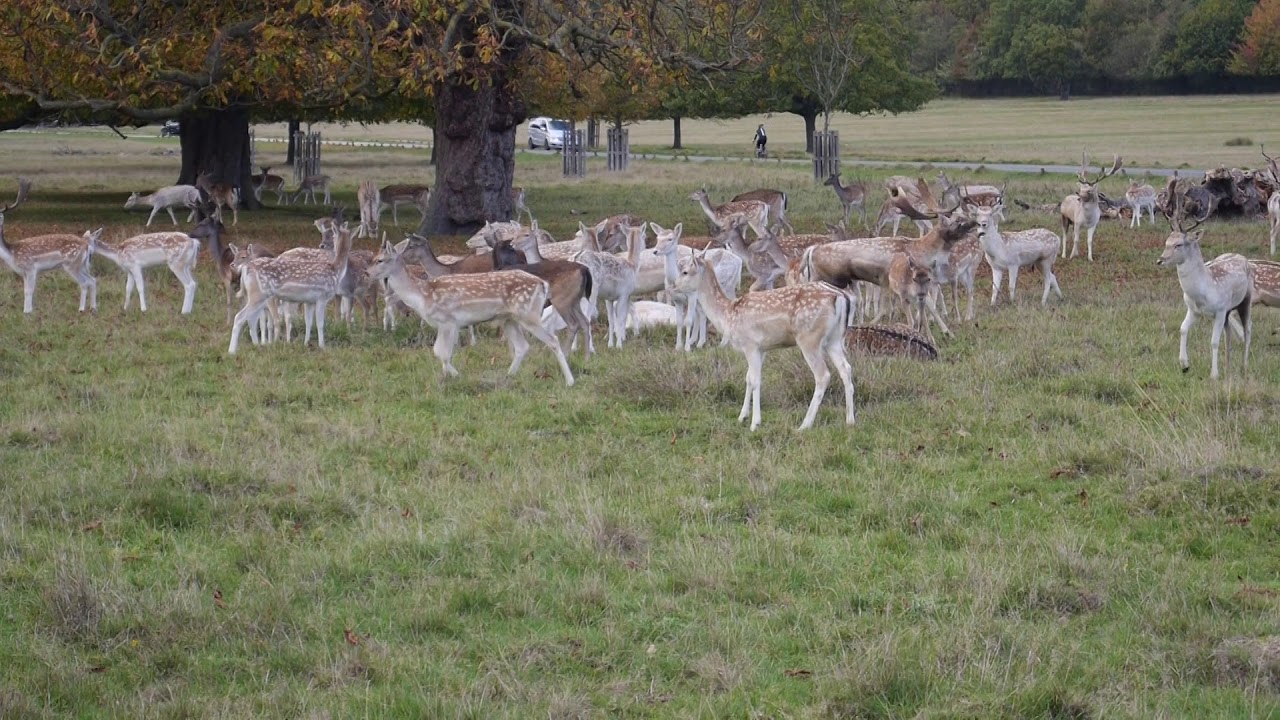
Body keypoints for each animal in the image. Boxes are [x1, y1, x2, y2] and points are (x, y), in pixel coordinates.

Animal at [0, 179, 101, 314]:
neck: (11, 254)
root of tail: (87, 245)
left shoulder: (30, 267)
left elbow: (29, 290)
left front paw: (27, 312)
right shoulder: (23, 272)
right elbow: (25, 290)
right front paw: (26, 311)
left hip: (72, 264)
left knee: (85, 282)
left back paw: (81, 309)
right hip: (82, 265)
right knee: (93, 280)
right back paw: (93, 308)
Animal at [228, 223, 352, 354]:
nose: (323, 245)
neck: (336, 271)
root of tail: (245, 269)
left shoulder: (310, 301)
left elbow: (309, 322)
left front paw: (306, 344)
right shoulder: (322, 297)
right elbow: (320, 323)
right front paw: (322, 346)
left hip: (256, 297)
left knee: (251, 319)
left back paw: (256, 346)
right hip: (259, 295)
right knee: (240, 317)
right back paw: (232, 351)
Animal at [367, 238, 575, 385]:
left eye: (380, 259)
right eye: (373, 258)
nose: (367, 273)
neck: (423, 296)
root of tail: (543, 284)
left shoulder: (447, 320)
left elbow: (441, 353)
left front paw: (454, 376)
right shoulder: (450, 325)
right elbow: (443, 352)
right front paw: (445, 378)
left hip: (528, 314)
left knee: (552, 340)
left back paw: (569, 381)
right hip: (510, 318)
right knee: (522, 346)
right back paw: (508, 377)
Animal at [674, 253, 856, 432]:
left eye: (684, 271)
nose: (673, 287)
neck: (728, 315)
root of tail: (841, 297)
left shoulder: (750, 344)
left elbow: (755, 380)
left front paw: (755, 423)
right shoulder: (762, 349)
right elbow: (748, 378)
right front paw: (742, 417)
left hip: (809, 338)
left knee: (823, 375)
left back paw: (805, 425)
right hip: (834, 339)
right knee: (846, 369)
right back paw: (850, 420)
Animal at [1156, 186, 1253, 380]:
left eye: (1178, 244)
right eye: (1167, 242)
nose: (1160, 260)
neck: (1202, 293)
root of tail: (1242, 257)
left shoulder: (1220, 310)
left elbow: (1214, 341)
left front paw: (1214, 374)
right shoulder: (1193, 309)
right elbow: (1183, 329)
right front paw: (1184, 364)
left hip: (1246, 300)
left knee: (1248, 330)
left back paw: (1244, 366)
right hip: (1229, 311)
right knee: (1229, 334)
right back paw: (1228, 364)